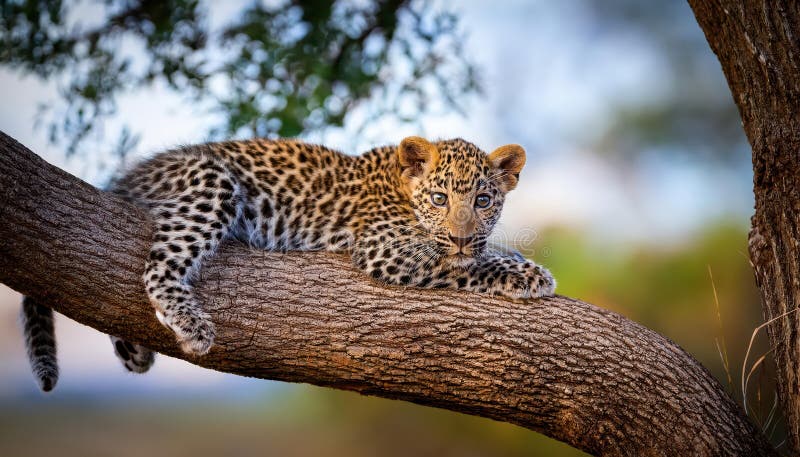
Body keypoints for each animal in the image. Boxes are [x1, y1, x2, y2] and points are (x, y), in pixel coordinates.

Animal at [21, 136, 556, 391]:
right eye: (440, 198)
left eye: (484, 200)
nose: (461, 235)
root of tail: (130, 175)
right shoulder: (386, 247)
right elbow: (462, 263)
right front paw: (528, 274)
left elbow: (482, 252)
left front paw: (508, 254)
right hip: (209, 179)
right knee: (159, 268)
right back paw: (191, 325)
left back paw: (134, 350)